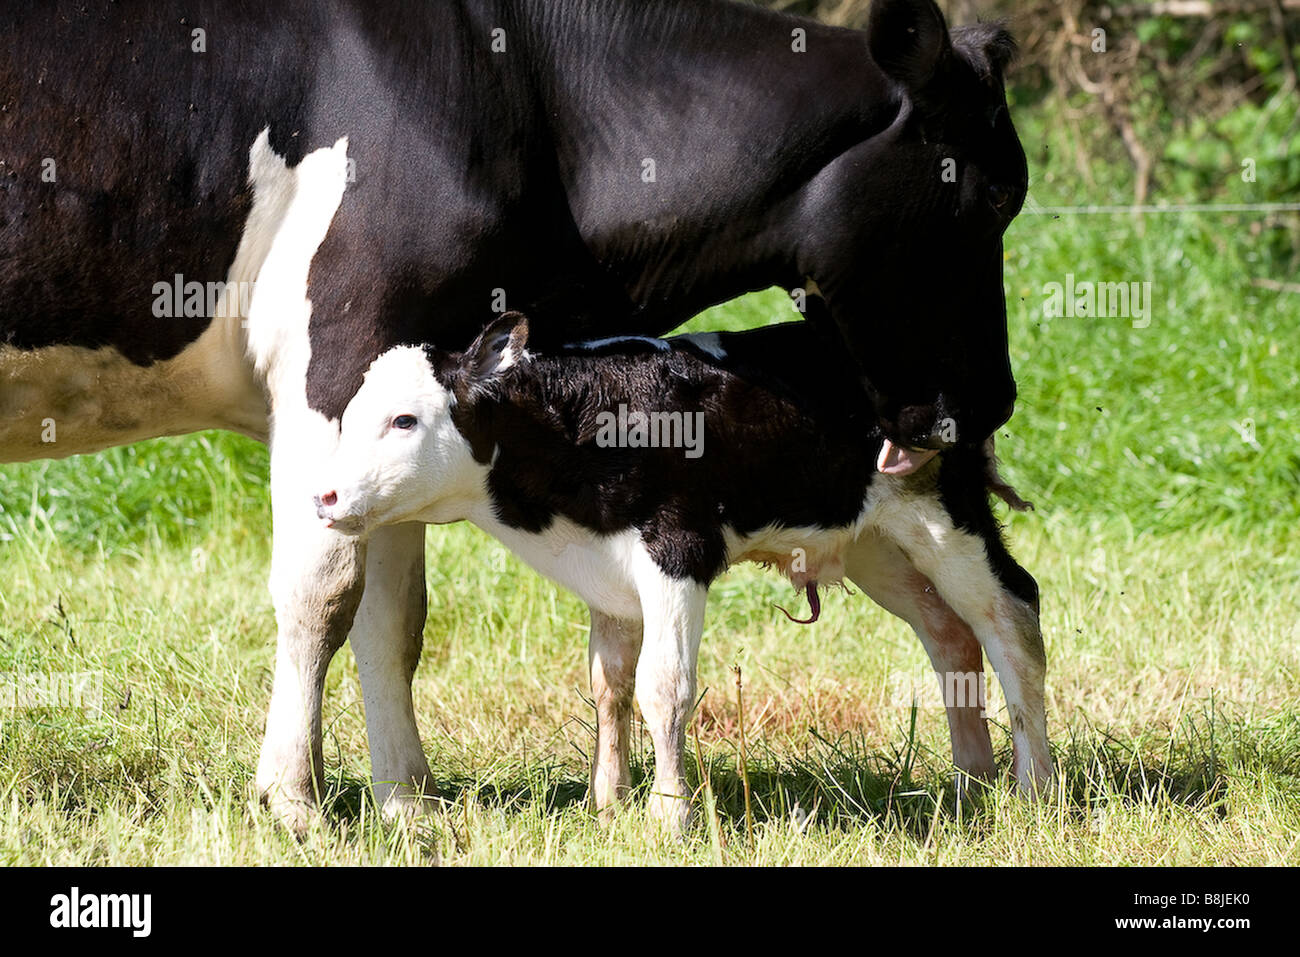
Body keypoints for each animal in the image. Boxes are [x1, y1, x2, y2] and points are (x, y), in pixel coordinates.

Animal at [313, 312, 1052, 833]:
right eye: (346, 418)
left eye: (405, 420)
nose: (323, 495)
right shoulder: (608, 576)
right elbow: (608, 684)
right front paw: (608, 804)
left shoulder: (678, 551)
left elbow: (663, 686)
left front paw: (671, 816)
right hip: (878, 544)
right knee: (951, 635)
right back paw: (972, 785)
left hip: (946, 518)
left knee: (1013, 618)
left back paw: (1034, 789)